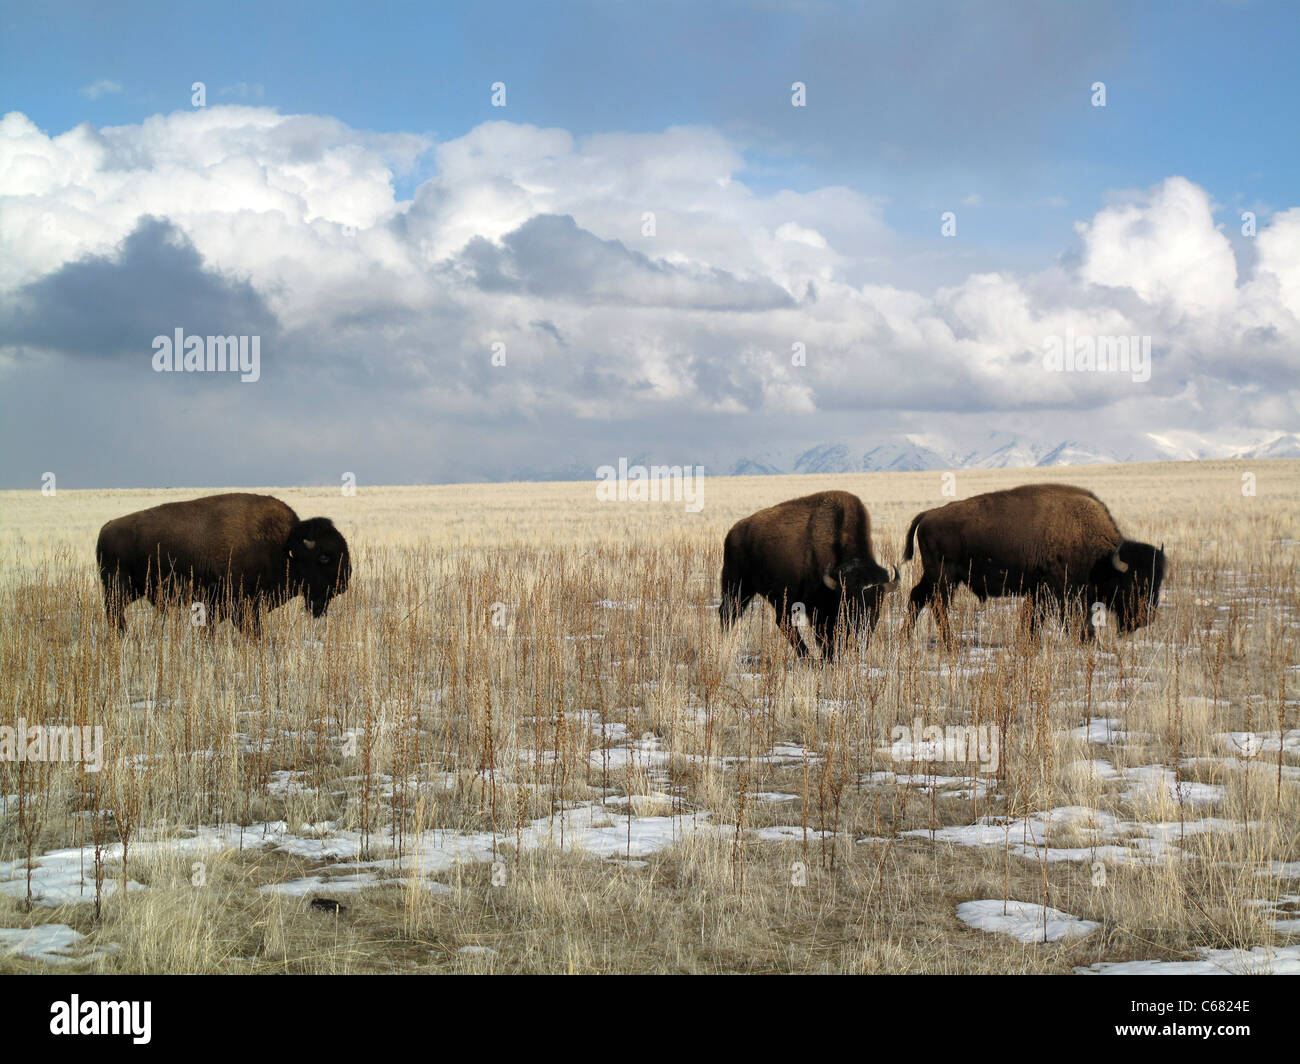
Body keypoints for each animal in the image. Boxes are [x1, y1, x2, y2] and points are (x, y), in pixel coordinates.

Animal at [96, 492, 351, 636]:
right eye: (324, 557)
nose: (344, 583)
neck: (282, 545)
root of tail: (106, 528)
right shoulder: (239, 604)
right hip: (118, 586)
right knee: (114, 612)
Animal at [719, 490, 899, 661]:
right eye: (847, 601)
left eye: (877, 603)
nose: (860, 633)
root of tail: (732, 533)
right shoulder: (817, 607)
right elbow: (824, 635)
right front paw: (828, 658)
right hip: (737, 586)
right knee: (730, 613)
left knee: (781, 621)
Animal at [900, 483, 1165, 642]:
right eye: (1133, 584)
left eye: (1157, 583)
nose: (1145, 619)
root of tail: (928, 515)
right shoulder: (1057, 592)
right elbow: (1060, 618)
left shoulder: (1040, 591)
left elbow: (1034, 618)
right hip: (944, 578)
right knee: (938, 605)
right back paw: (948, 642)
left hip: (934, 576)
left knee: (917, 597)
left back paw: (905, 637)